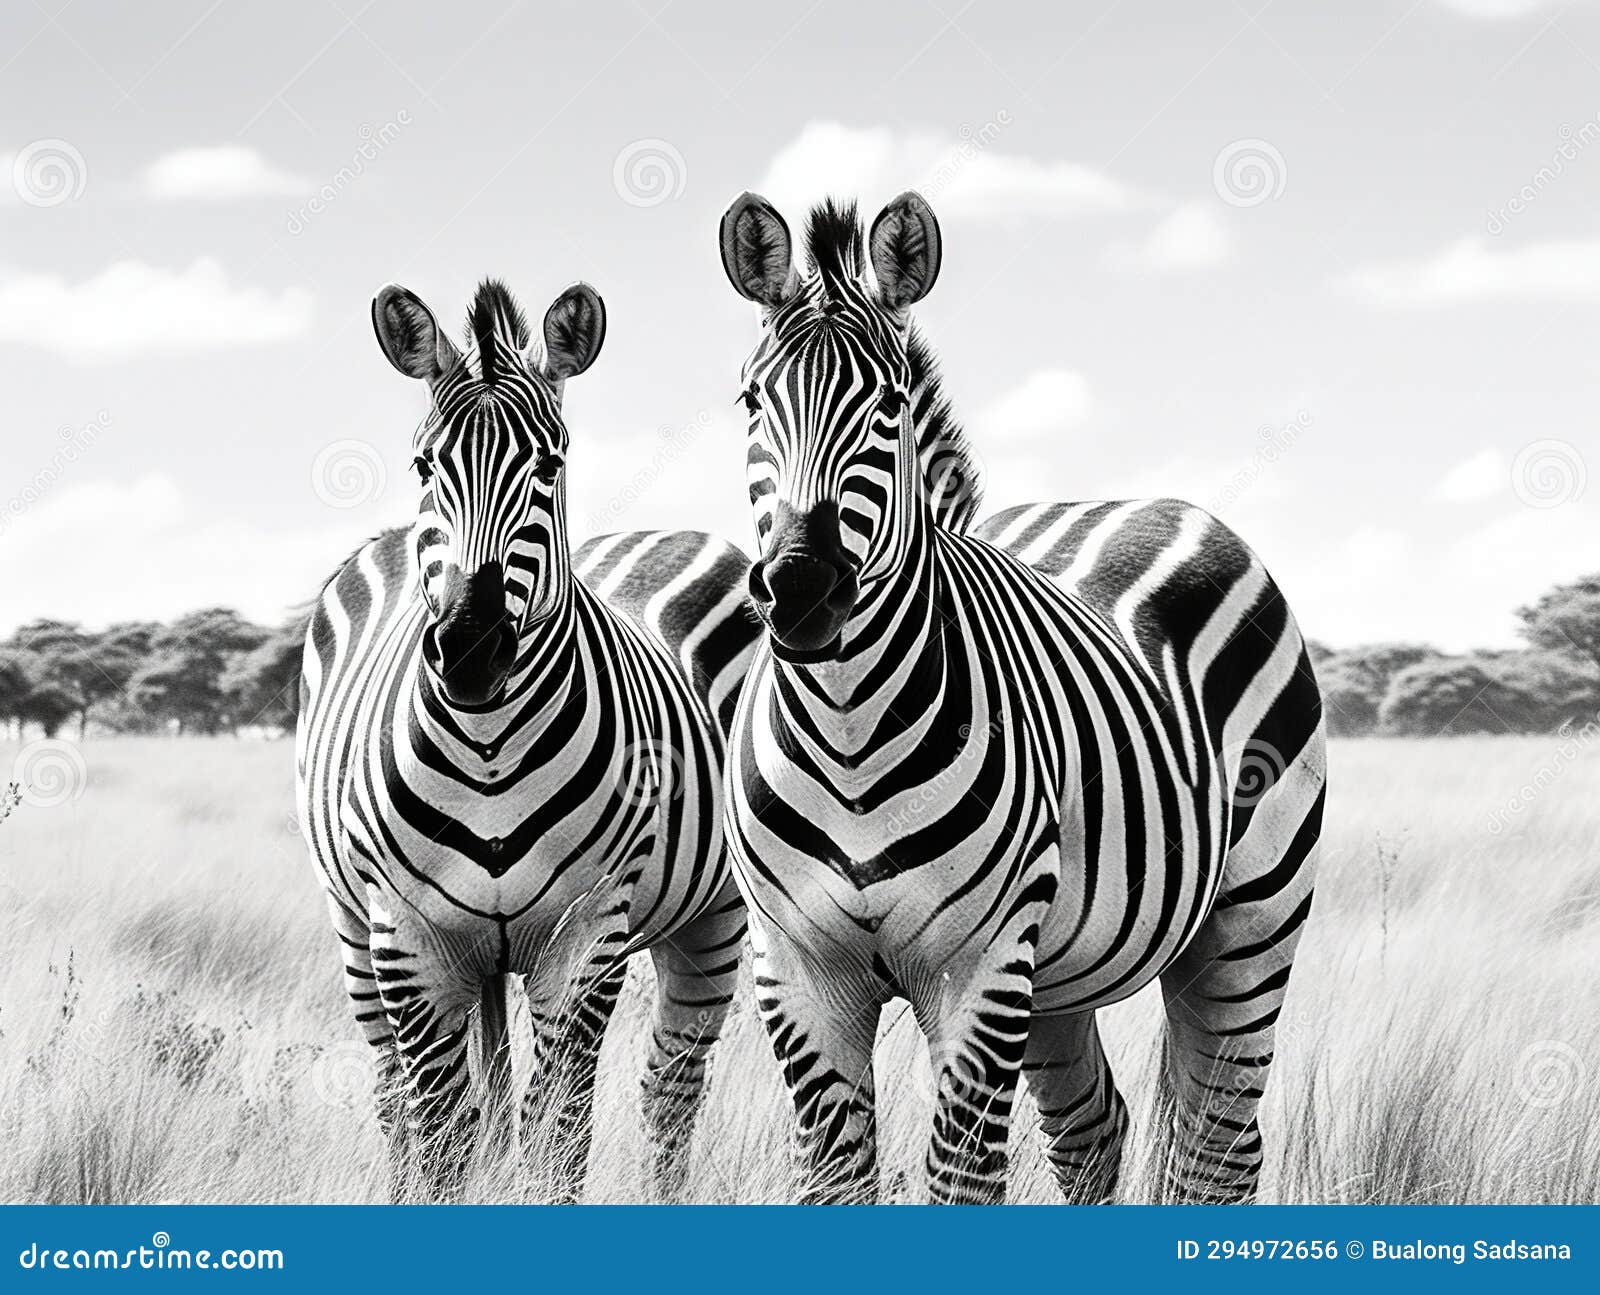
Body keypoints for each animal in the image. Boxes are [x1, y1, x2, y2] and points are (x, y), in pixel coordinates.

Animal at [295, 278, 757, 1201]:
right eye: (424, 465)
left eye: (550, 463)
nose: (471, 649)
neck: (489, 745)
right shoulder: (409, 935)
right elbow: (444, 1138)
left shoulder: (587, 935)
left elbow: (559, 1136)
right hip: (356, 926)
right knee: (397, 1100)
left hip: (715, 913)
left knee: (669, 1092)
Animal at [716, 191, 1326, 1204]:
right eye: (752, 401)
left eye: (889, 406)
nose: (801, 589)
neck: (847, 733)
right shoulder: (799, 969)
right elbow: (835, 1177)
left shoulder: (980, 966)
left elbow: (963, 1177)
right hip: (1058, 978)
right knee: (1096, 1130)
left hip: (1249, 922)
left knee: (1217, 1151)